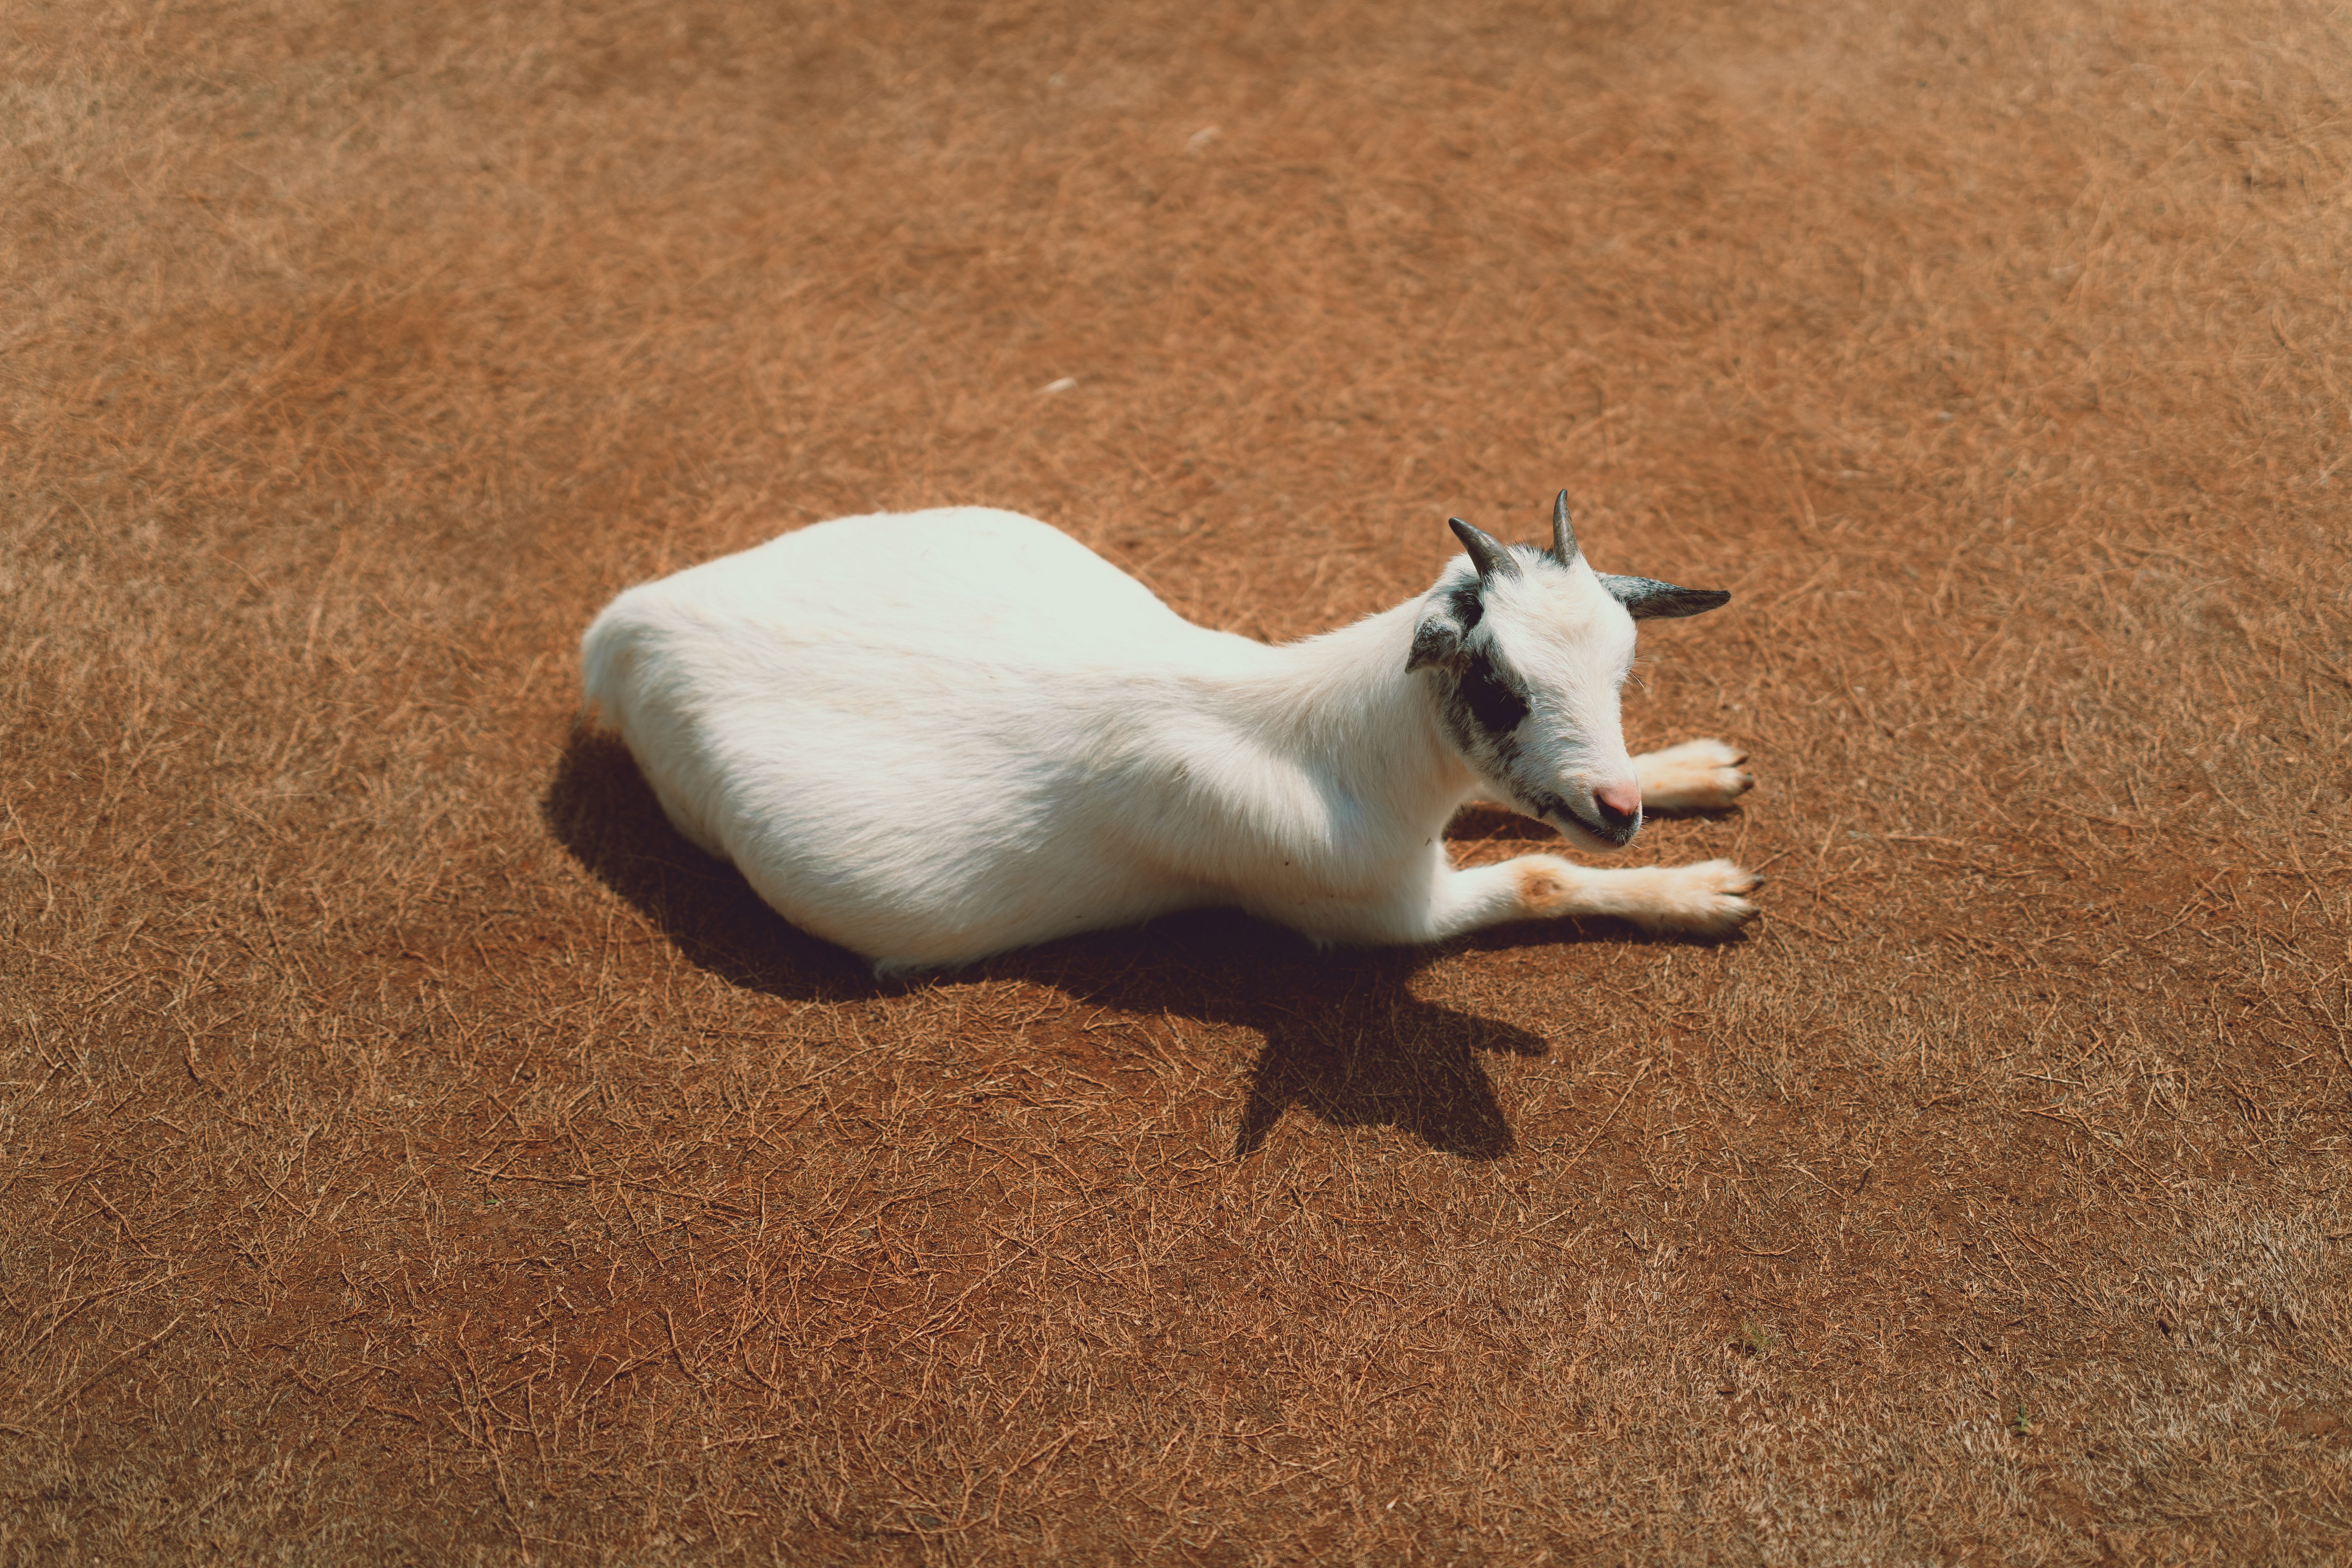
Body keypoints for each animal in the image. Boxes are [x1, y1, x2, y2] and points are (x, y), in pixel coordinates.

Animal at [579, 494, 1760, 975]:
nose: (1617, 811)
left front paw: (1698, 769)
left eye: (1621, 670)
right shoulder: (1378, 914)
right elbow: (1538, 877)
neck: (1330, 744)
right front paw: (1706, 893)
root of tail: (632, 623)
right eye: (1501, 689)